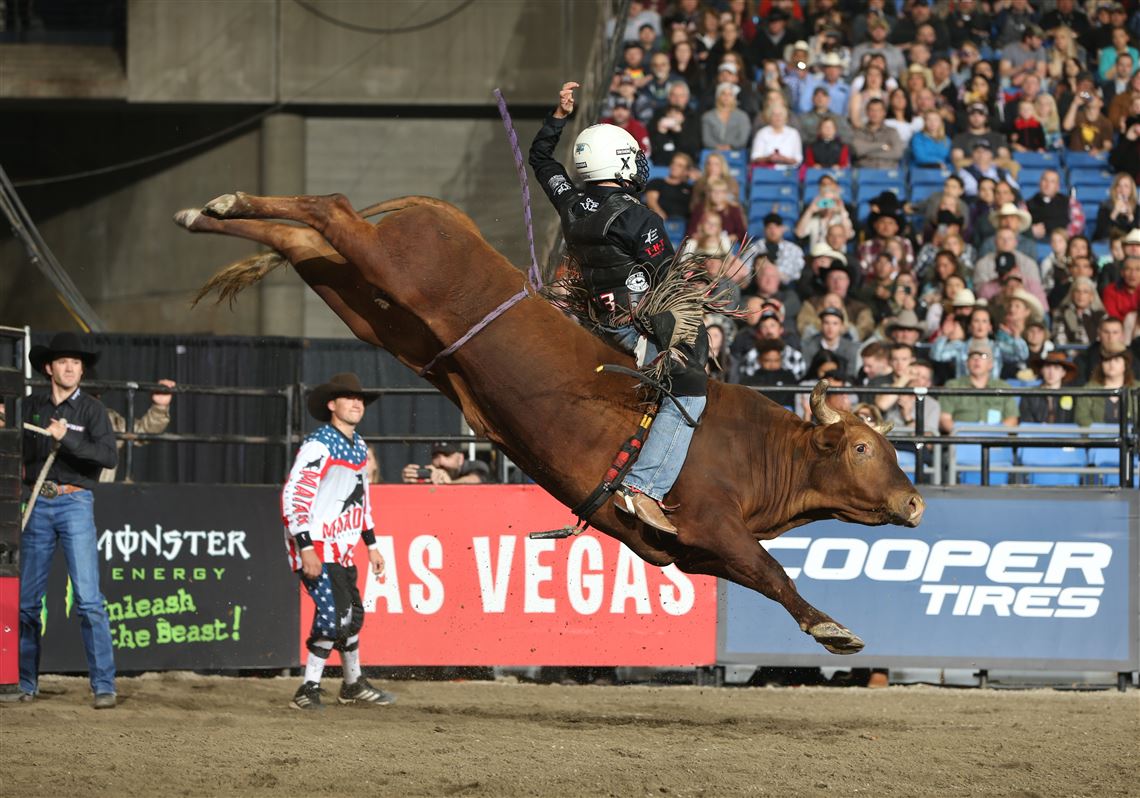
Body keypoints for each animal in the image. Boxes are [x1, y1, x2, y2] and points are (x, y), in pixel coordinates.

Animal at [176, 191, 924, 654]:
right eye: (862, 447)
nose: (915, 501)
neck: (760, 450)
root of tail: (442, 216)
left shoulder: (695, 551)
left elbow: (760, 575)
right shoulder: (713, 523)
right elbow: (774, 573)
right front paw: (832, 630)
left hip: (368, 304)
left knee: (303, 237)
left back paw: (209, 211)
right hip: (390, 267)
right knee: (327, 210)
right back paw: (219, 206)